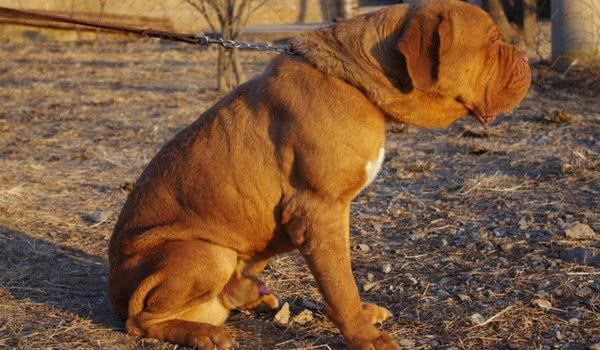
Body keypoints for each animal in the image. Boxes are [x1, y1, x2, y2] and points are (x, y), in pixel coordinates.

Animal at [108, 1, 528, 348]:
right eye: (493, 41)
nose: (525, 56)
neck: (359, 82)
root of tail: (114, 290)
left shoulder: (336, 214)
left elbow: (342, 279)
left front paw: (362, 316)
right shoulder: (320, 210)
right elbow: (340, 284)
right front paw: (365, 337)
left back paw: (249, 296)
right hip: (206, 253)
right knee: (139, 320)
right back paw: (204, 334)